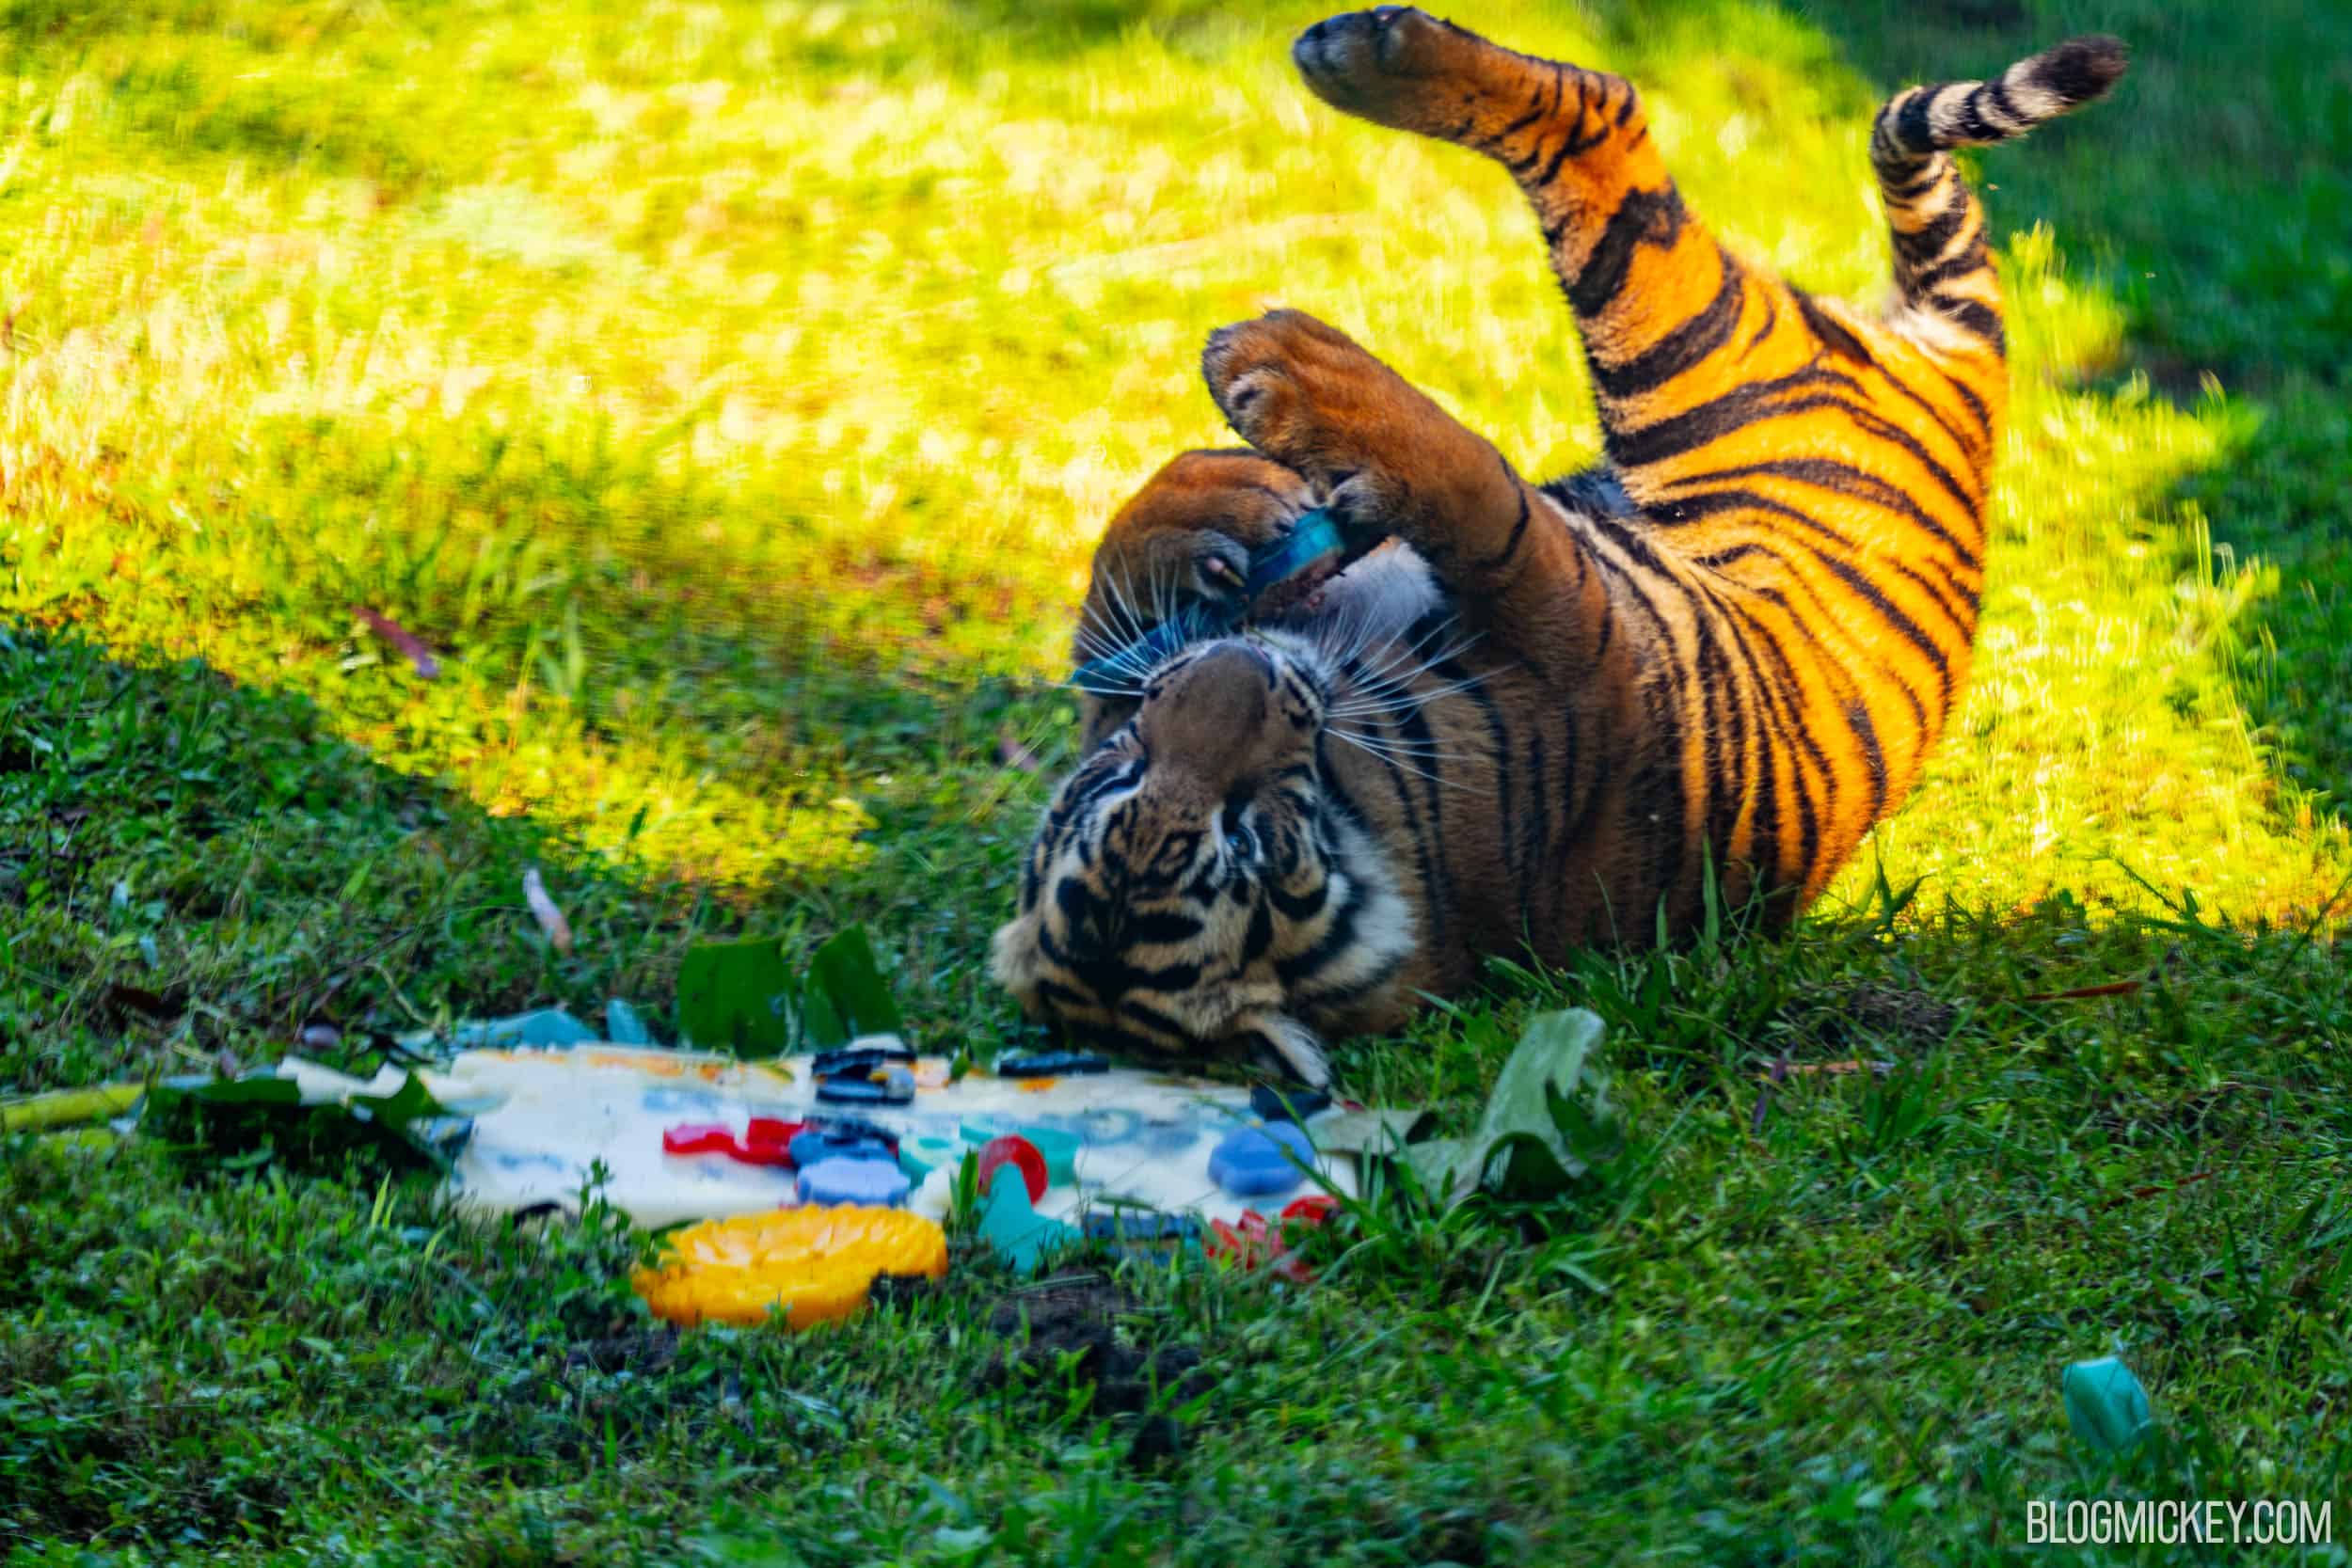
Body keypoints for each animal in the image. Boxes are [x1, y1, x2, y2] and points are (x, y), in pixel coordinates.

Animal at [991, 9, 2128, 1087]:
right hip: (1693, 359)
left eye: (1130, 770)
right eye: (1243, 839)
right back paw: (1368, 66)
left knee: (1602, 101)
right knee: (1606, 127)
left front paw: (1226, 481)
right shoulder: (1588, 650)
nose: (1226, 671)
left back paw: (1349, 63)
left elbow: (1114, 604)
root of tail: (1971, 398)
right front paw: (1289, 391)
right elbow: (1483, 494)